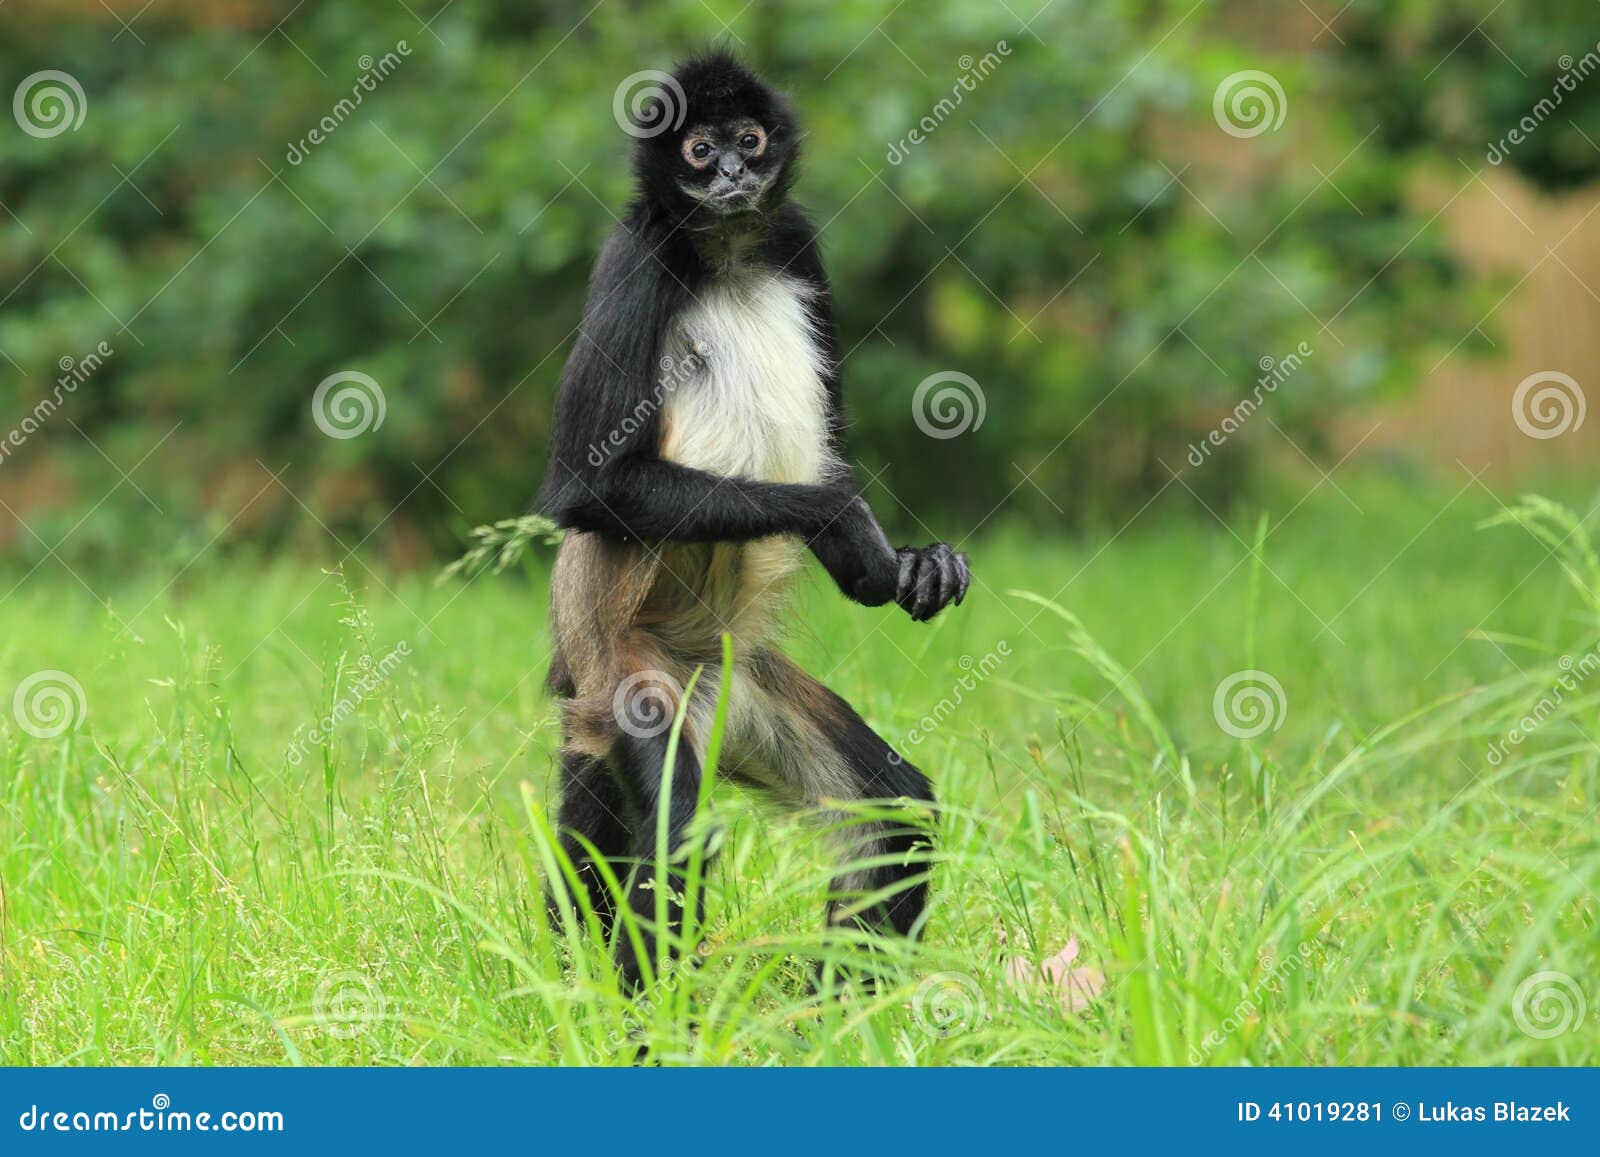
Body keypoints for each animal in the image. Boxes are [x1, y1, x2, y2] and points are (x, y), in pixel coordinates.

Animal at [536, 50, 971, 989]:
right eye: (699, 150)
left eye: (750, 139)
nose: (734, 172)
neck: (729, 250)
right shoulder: (635, 255)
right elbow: (583, 486)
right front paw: (844, 521)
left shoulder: (796, 238)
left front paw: (907, 565)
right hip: (636, 673)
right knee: (677, 834)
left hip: (746, 685)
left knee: (895, 813)